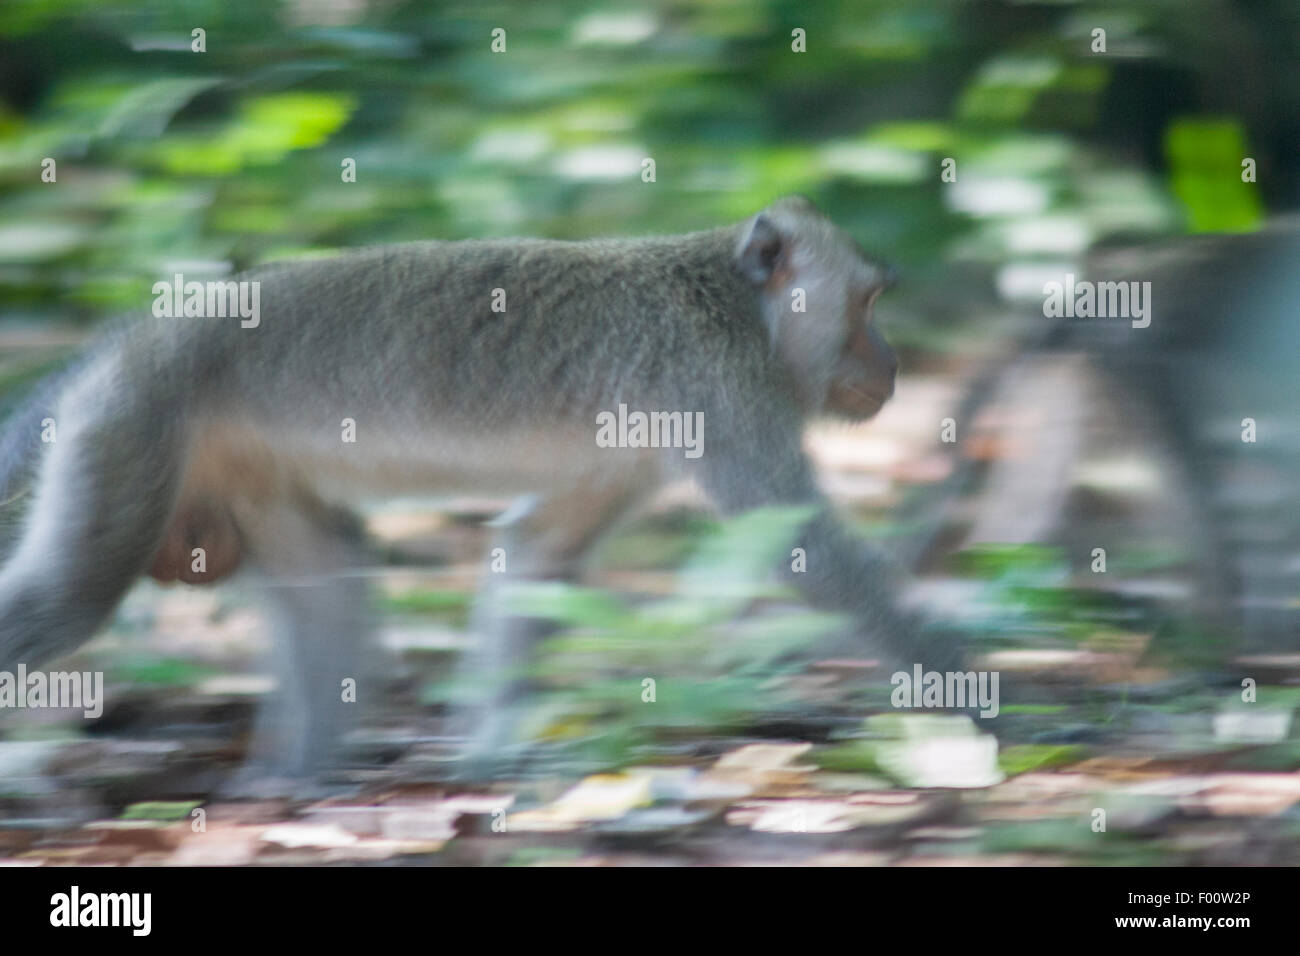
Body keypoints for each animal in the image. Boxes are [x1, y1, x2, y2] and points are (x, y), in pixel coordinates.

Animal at [0, 195, 948, 789]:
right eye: (867, 304)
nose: (893, 363)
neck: (736, 307)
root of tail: (120, 345)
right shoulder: (724, 393)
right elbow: (808, 552)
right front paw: (959, 697)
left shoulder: (638, 454)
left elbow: (536, 555)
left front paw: (492, 755)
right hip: (128, 425)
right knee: (68, 600)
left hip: (226, 462)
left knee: (329, 579)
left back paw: (297, 783)